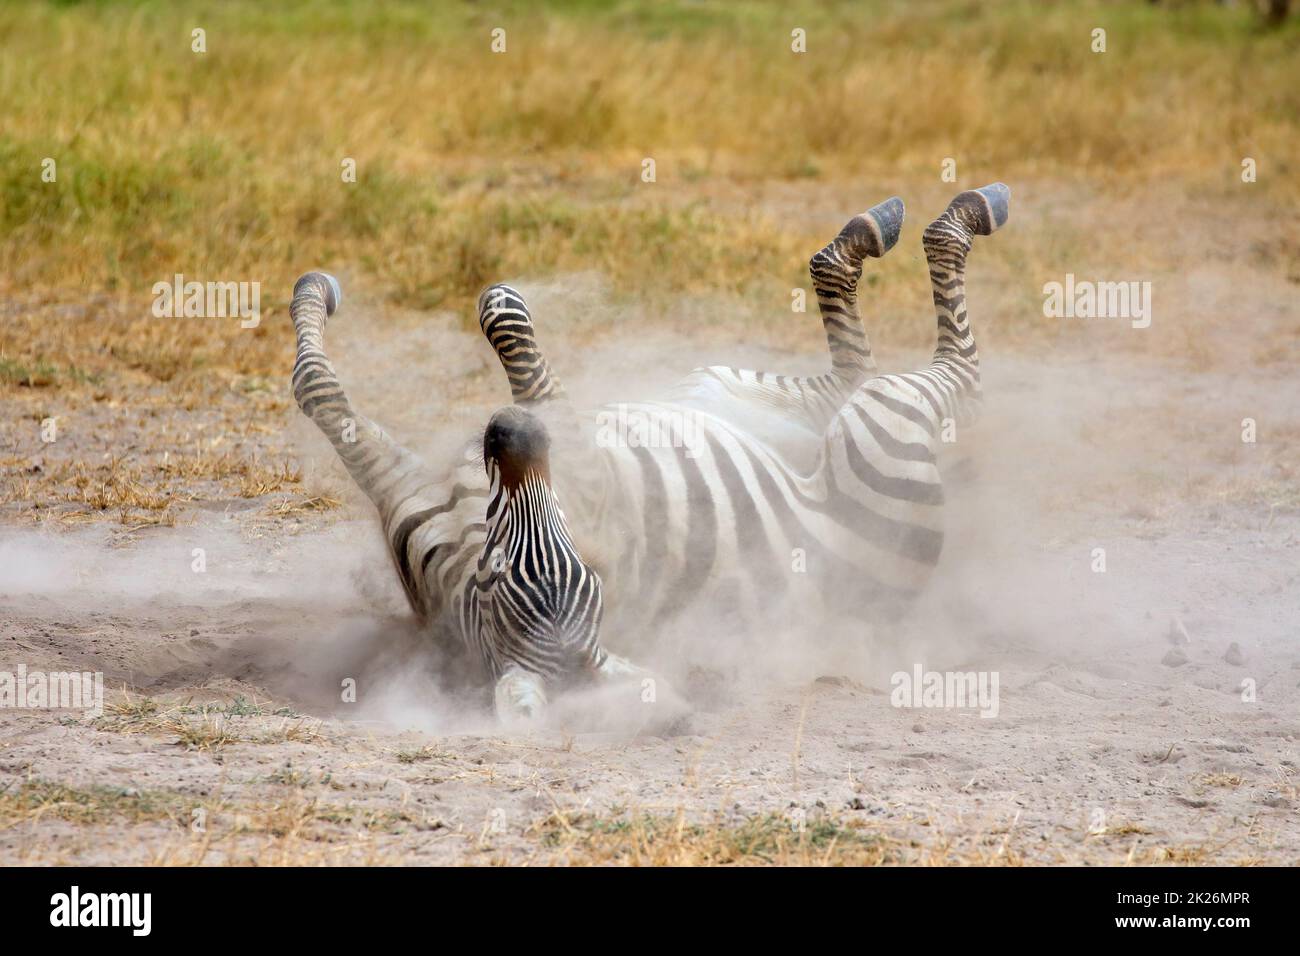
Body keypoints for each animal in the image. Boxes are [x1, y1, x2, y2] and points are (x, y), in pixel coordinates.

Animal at [290, 184, 1009, 722]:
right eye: (499, 575)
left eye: (582, 571)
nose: (510, 431)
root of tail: (896, 596)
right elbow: (480, 329)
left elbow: (340, 378)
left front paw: (317, 293)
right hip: (867, 424)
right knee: (942, 379)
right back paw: (953, 217)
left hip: (745, 393)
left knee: (867, 371)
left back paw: (884, 229)